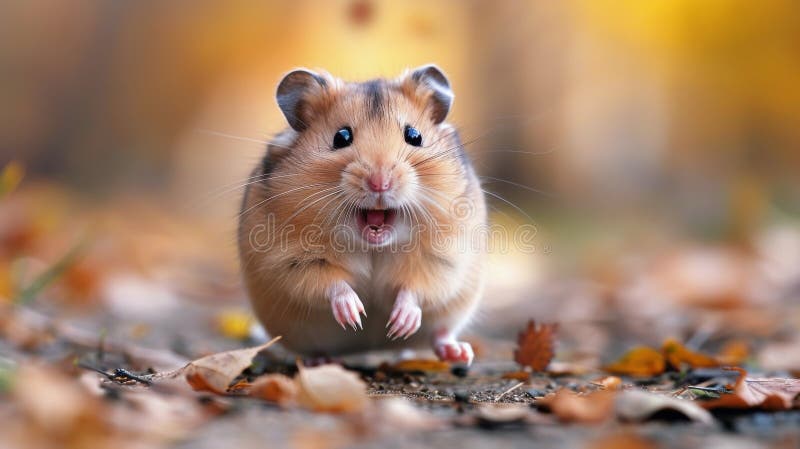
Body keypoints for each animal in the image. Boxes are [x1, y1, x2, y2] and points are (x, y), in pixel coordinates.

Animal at [238, 65, 486, 364]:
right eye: (341, 137)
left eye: (414, 136)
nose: (380, 183)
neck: (373, 245)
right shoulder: (291, 259)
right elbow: (329, 282)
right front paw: (355, 315)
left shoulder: (443, 257)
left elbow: (416, 287)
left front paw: (399, 324)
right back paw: (318, 360)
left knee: (439, 333)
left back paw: (458, 353)